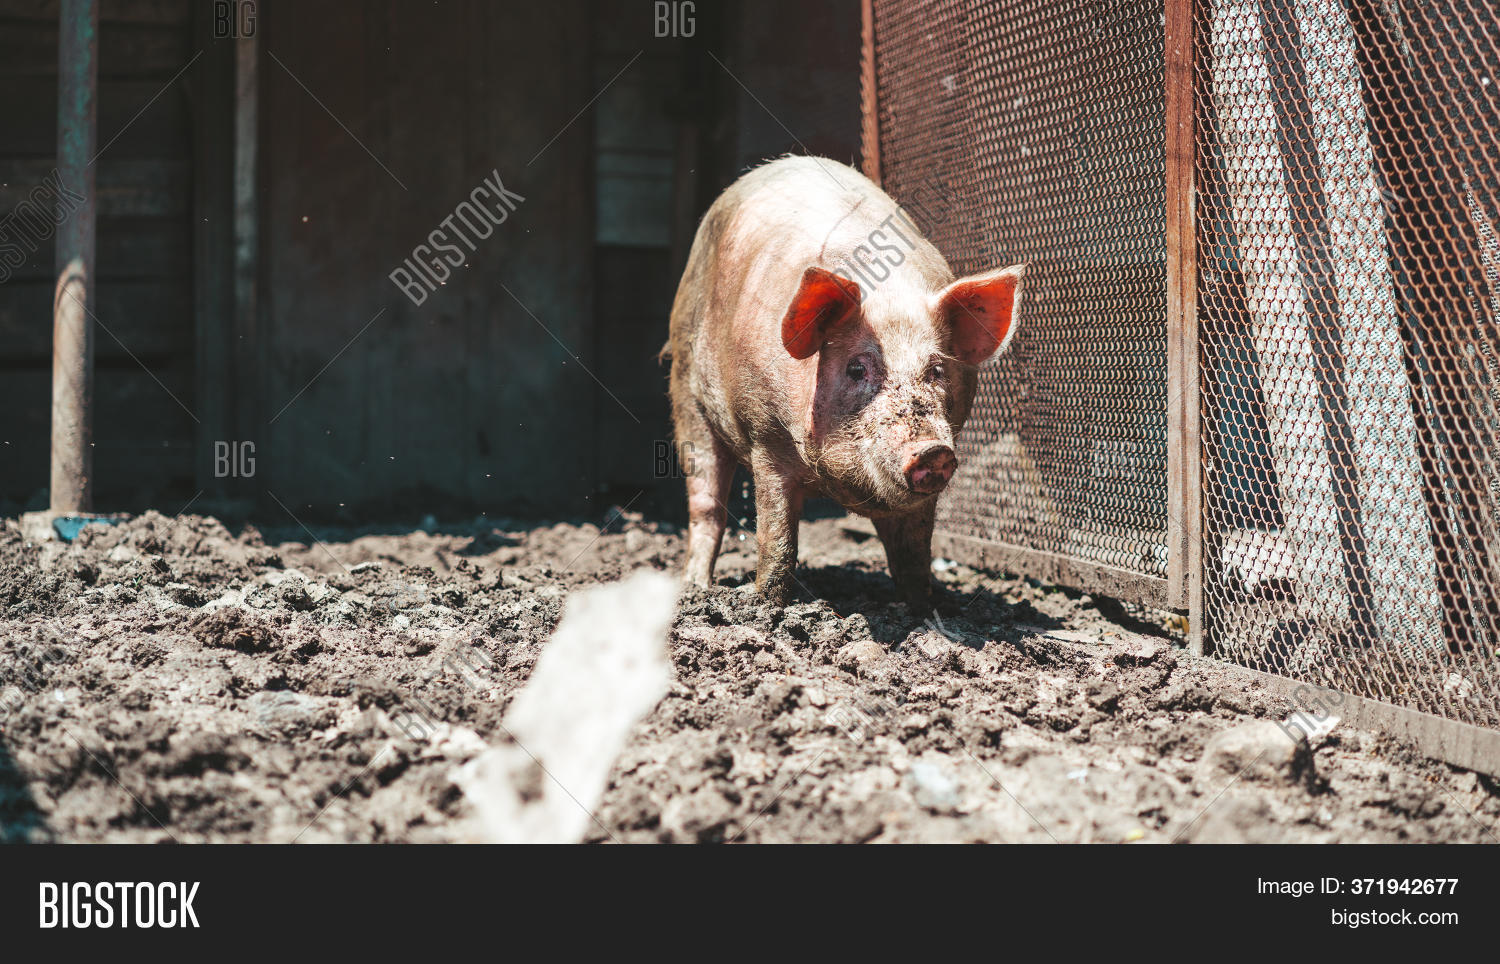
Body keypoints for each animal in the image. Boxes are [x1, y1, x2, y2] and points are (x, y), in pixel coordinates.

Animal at [664, 155, 1025, 607]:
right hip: (686, 389)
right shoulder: (766, 437)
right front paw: (763, 603)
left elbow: (914, 551)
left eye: (936, 370)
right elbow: (777, 539)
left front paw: (923, 607)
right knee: (705, 503)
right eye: (856, 368)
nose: (932, 451)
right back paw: (696, 589)